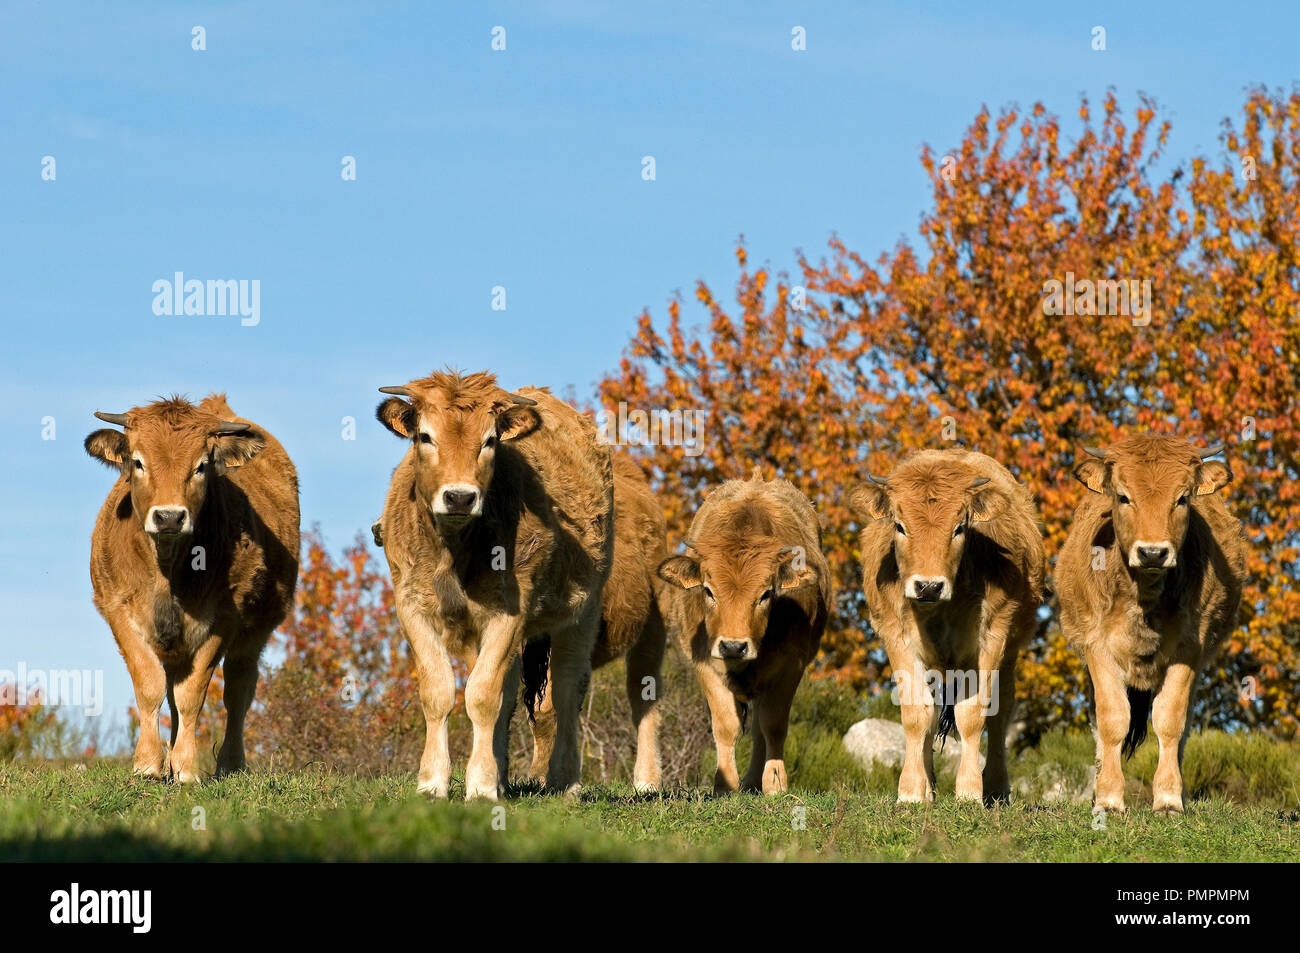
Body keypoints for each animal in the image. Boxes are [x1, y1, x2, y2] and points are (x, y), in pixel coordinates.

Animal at [84, 395, 300, 783]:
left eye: (201, 466)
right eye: (138, 462)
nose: (169, 516)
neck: (167, 571)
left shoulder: (225, 619)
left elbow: (192, 693)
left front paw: (186, 767)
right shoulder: (117, 610)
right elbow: (150, 685)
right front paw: (149, 764)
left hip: (255, 632)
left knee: (238, 689)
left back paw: (230, 762)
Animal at [374, 370, 613, 800]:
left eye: (489, 441)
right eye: (425, 437)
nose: (459, 496)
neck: (454, 552)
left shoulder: (509, 613)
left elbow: (483, 696)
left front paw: (481, 786)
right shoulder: (411, 606)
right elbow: (440, 691)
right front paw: (433, 782)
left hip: (582, 611)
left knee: (567, 689)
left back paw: (566, 779)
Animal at [657, 474, 830, 795]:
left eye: (765, 594)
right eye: (708, 591)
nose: (733, 647)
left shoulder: (791, 665)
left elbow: (773, 725)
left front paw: (775, 782)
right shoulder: (704, 662)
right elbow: (725, 725)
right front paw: (724, 784)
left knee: (762, 727)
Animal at [848, 449, 1045, 805]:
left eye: (959, 528)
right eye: (899, 525)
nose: (928, 586)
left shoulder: (990, 641)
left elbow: (973, 715)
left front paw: (969, 791)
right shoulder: (897, 638)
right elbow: (917, 716)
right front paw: (912, 791)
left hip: (1010, 653)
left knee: (1000, 716)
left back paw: (996, 787)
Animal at [1057, 435, 1245, 814]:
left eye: (1182, 497)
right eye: (1123, 496)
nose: (1153, 553)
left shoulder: (1189, 650)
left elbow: (1171, 721)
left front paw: (1169, 798)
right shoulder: (1097, 647)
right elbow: (1113, 719)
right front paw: (1109, 799)